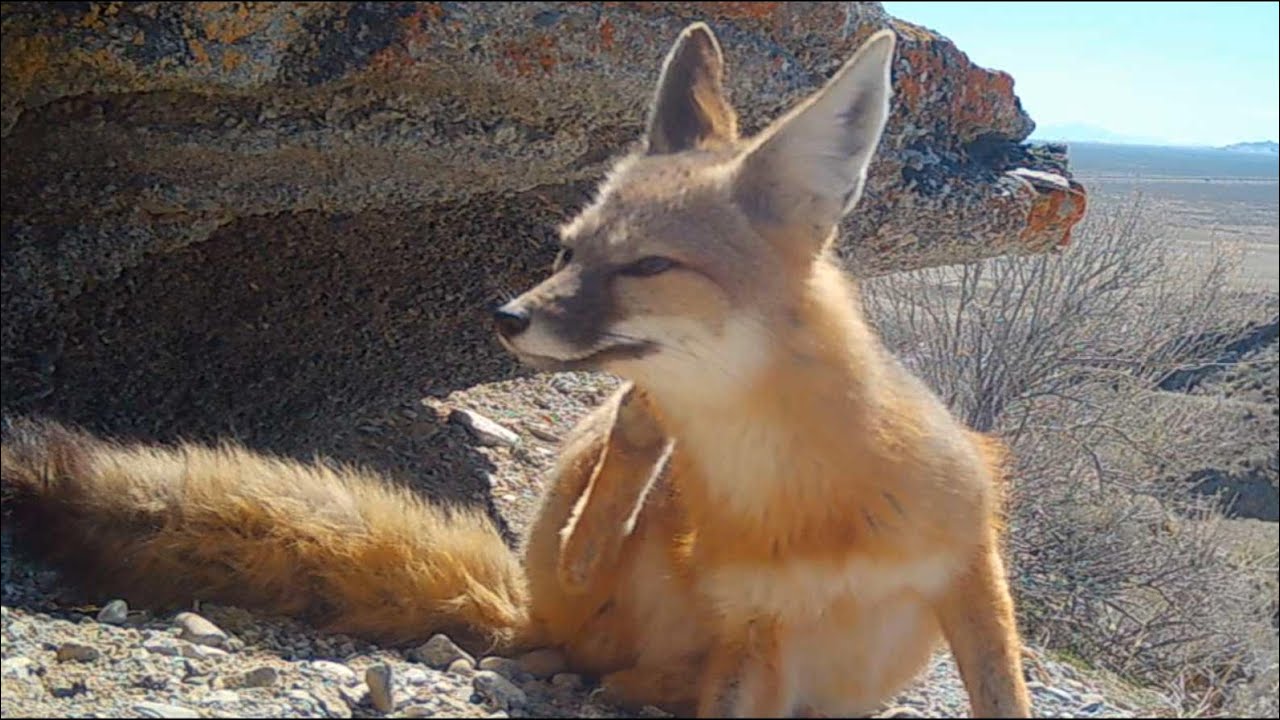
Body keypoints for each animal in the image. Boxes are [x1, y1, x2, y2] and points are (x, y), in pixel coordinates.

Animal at [1, 23, 1031, 719]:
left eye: (645, 265)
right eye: (569, 248)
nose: (506, 317)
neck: (808, 502)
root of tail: (524, 601)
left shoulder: (971, 570)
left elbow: (1004, 693)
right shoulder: (752, 637)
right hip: (585, 532)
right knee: (589, 556)